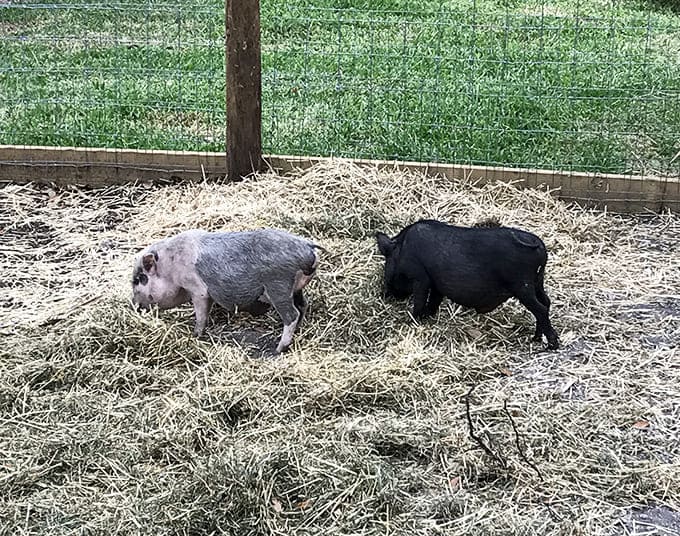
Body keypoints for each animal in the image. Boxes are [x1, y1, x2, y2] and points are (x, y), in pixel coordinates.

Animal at [131, 229, 321, 354]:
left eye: (138, 279)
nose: (134, 305)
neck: (169, 268)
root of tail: (308, 247)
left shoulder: (198, 290)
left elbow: (201, 314)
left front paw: (196, 335)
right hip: (295, 290)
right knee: (303, 306)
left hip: (279, 287)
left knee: (292, 314)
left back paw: (278, 349)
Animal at [376, 219, 559, 349]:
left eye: (387, 262)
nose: (386, 294)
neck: (401, 250)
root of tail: (539, 244)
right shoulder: (436, 285)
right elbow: (433, 303)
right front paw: (427, 316)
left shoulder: (420, 278)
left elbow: (420, 302)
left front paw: (413, 320)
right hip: (537, 282)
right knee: (546, 302)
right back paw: (536, 338)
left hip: (522, 285)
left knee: (540, 309)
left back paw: (551, 345)